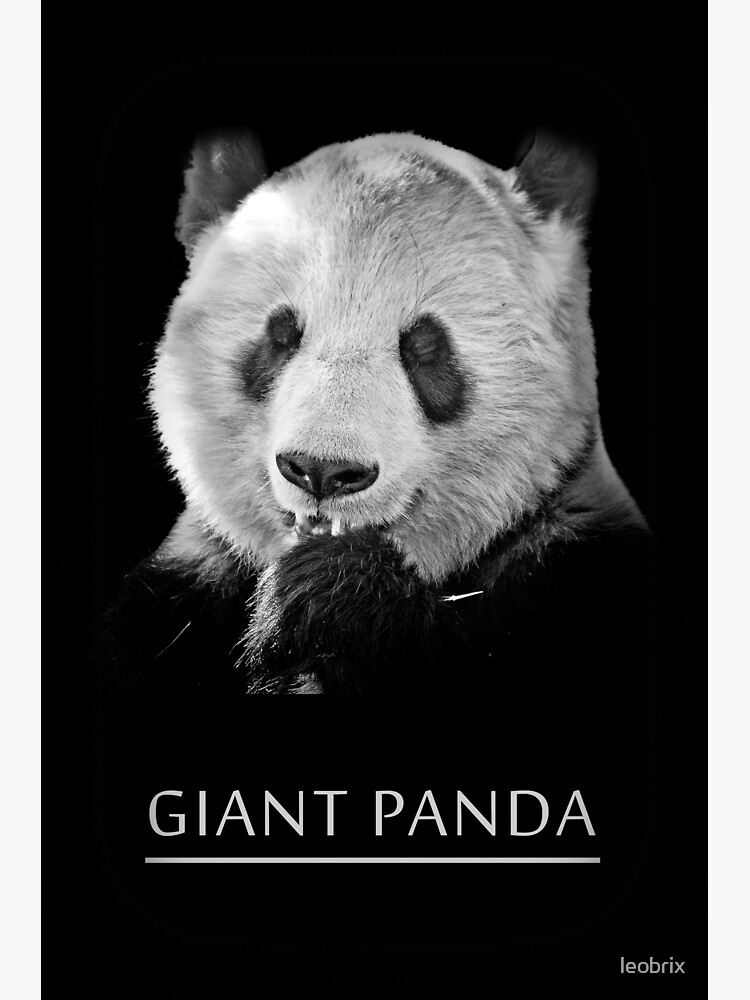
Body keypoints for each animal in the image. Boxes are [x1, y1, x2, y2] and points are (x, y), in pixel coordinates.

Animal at [99, 129, 651, 696]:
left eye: (424, 347)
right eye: (281, 335)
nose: (322, 470)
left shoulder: (570, 567)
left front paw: (334, 596)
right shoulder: (178, 597)